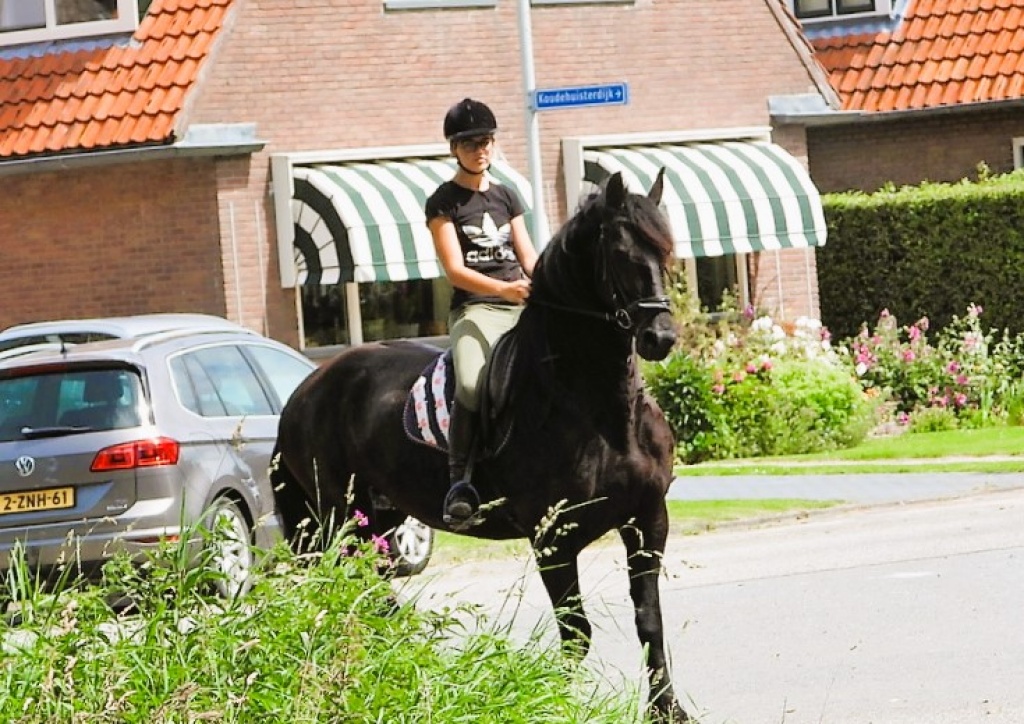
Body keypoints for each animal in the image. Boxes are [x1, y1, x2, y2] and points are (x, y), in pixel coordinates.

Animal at [271, 170, 689, 722]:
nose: (660, 337)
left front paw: (669, 710)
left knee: (370, 593)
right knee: (343, 591)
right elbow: (576, 633)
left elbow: (649, 622)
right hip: (336, 520)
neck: (599, 410)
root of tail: (303, 391)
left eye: (666, 251)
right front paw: (553, 703)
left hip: (375, 518)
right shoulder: (553, 537)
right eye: (621, 254)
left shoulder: (647, 521)